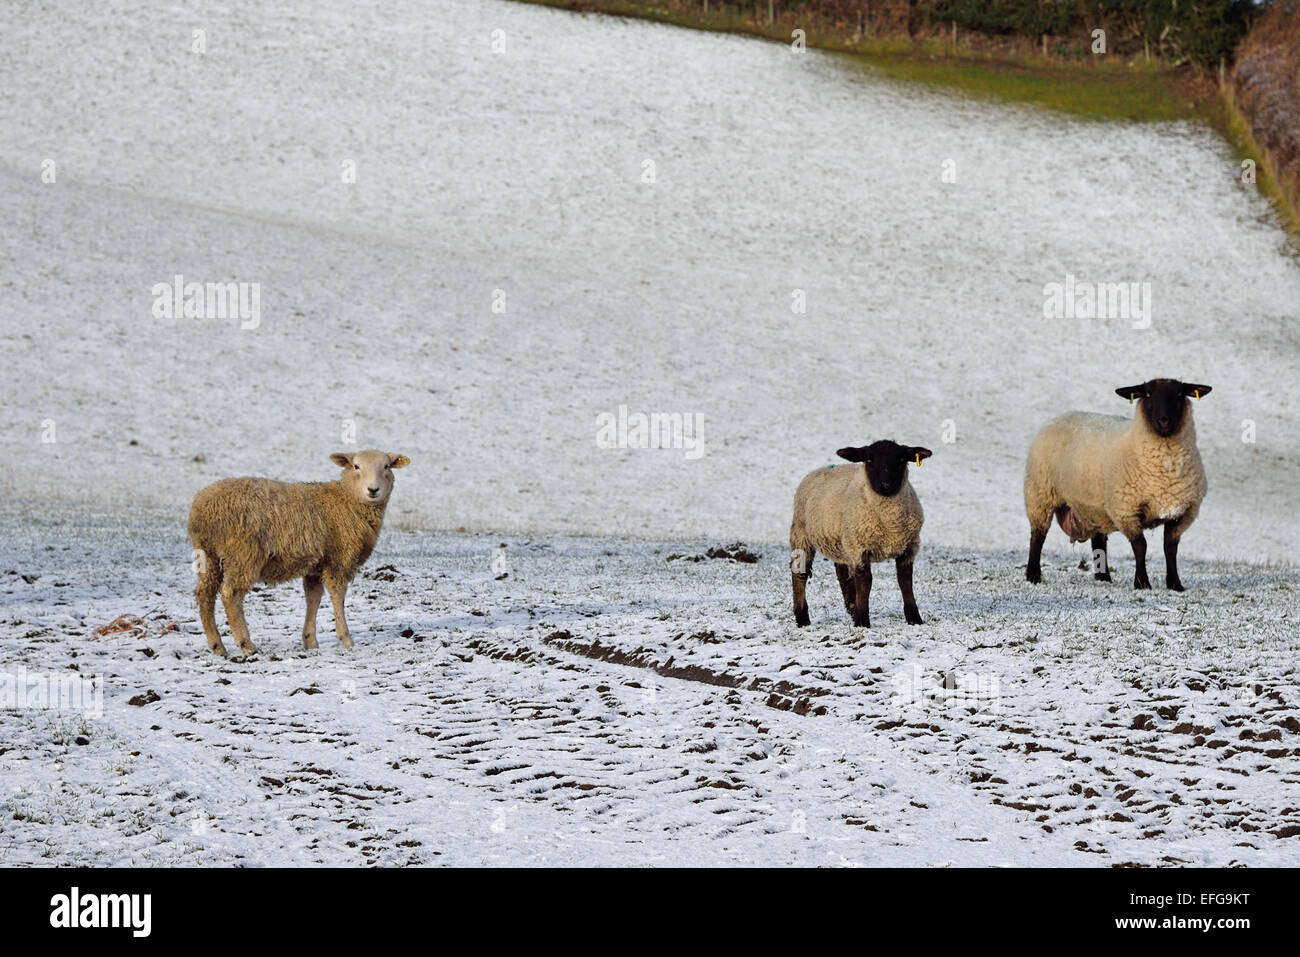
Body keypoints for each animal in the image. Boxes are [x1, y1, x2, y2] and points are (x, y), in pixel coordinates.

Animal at [188, 450, 410, 656]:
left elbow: (313, 599)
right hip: (243, 554)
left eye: (386, 466)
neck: (346, 500)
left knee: (204, 594)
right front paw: (346, 639)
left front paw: (310, 641)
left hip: (208, 556)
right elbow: (338, 597)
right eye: (356, 466)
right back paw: (246, 645)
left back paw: (217, 646)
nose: (373, 489)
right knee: (230, 595)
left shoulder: (316, 566)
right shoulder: (340, 559)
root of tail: (203, 507)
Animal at [790, 440, 933, 628]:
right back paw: (802, 618)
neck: (891, 524)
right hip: (802, 535)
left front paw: (914, 619)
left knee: (843, 573)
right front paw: (863, 622)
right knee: (800, 574)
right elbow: (865, 583)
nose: (886, 485)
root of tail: (819, 469)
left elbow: (905, 582)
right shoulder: (860, 548)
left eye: (901, 459)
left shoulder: (909, 547)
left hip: (841, 542)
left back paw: (852, 608)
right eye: (869, 460)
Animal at [1024, 378, 1211, 591]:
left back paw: (1103, 577)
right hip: (1040, 494)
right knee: (1038, 535)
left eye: (1179, 394)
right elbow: (1140, 546)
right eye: (1148, 393)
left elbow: (1170, 548)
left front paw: (1175, 584)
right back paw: (1033, 575)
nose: (1164, 421)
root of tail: (1060, 416)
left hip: (1094, 508)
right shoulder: (1126, 509)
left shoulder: (1183, 513)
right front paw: (1142, 583)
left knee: (1098, 541)